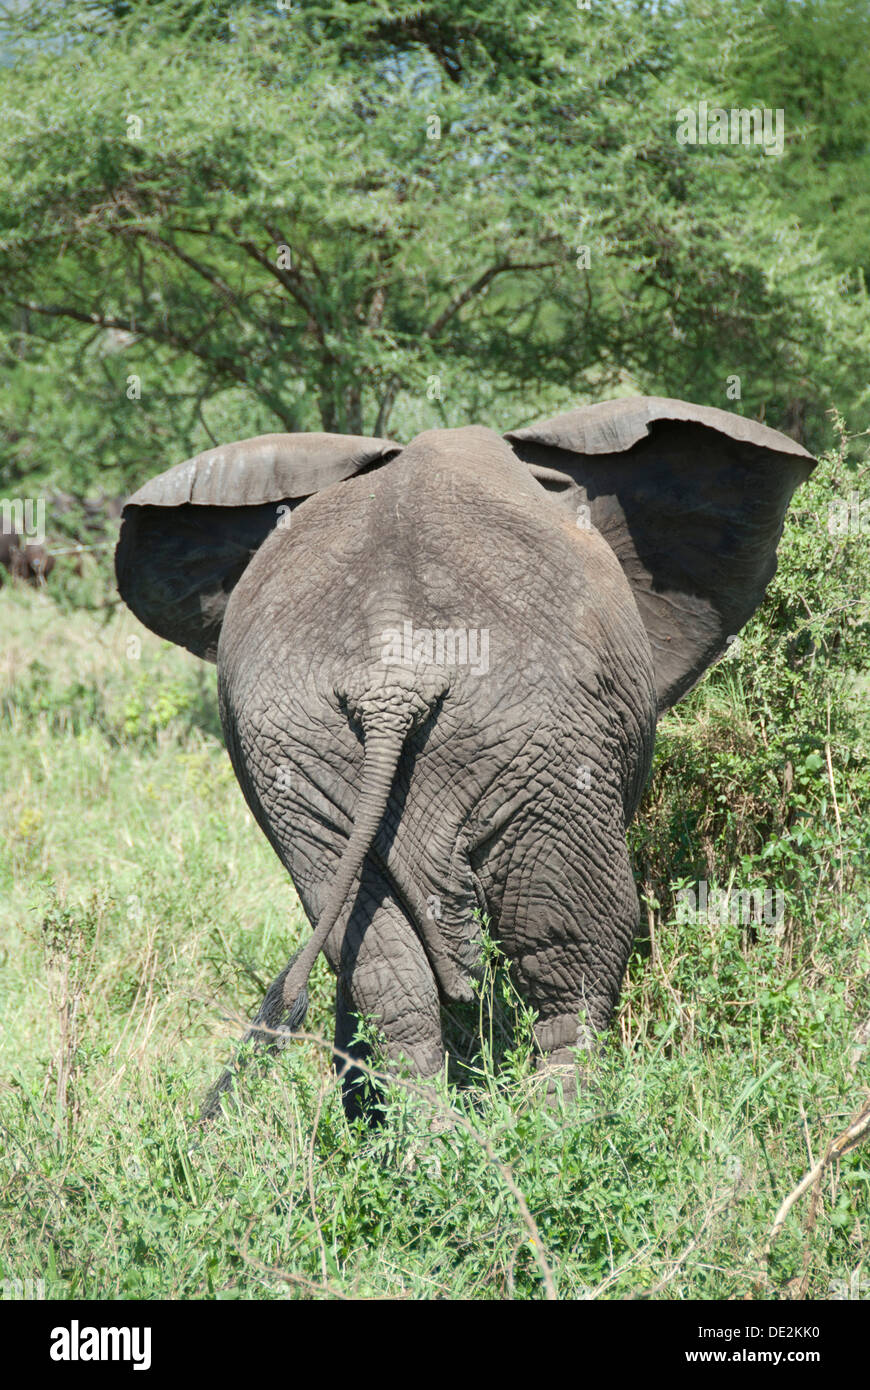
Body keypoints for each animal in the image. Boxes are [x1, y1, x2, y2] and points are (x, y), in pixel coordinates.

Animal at [114, 396, 815, 1115]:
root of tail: (390, 678)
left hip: (292, 743)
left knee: (379, 958)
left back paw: (426, 1137)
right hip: (543, 739)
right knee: (570, 937)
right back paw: (565, 1123)